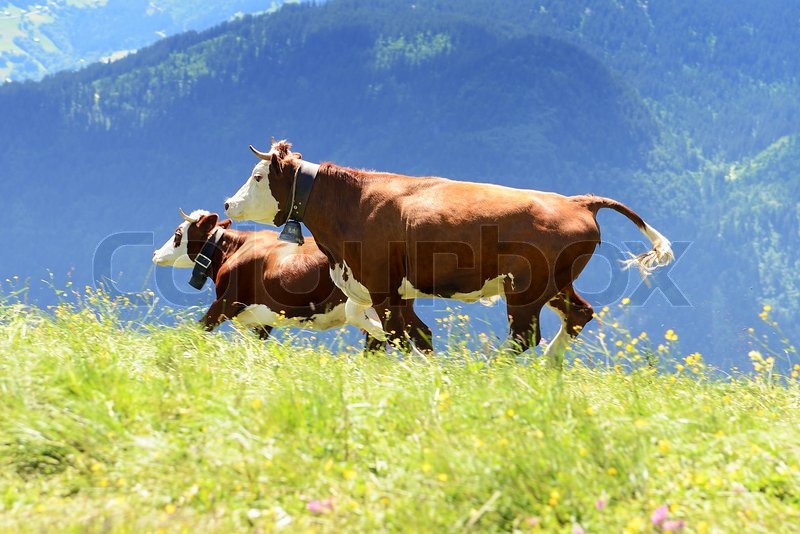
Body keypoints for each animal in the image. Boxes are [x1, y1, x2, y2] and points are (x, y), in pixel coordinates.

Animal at [152, 208, 353, 340]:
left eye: (178, 233)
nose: (155, 253)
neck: (235, 249)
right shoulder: (264, 320)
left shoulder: (226, 301)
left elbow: (199, 328)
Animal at [224, 140, 674, 366]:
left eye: (258, 176)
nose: (228, 204)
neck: (351, 205)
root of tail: (578, 201)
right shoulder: (386, 288)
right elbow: (402, 331)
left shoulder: (382, 285)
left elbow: (397, 333)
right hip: (556, 284)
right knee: (579, 314)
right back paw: (549, 367)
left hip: (526, 289)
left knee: (525, 335)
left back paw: (492, 373)